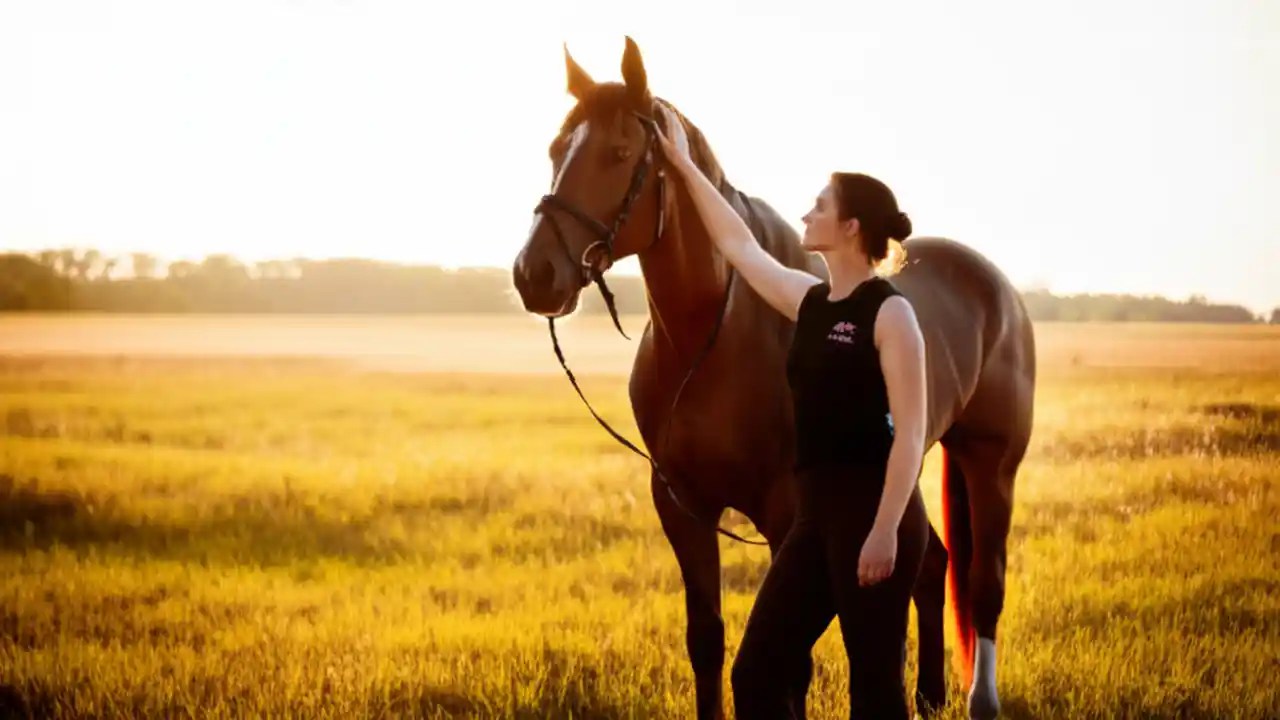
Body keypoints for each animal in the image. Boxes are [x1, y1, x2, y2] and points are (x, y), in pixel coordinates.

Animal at [510, 37, 1035, 720]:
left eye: (620, 154)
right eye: (555, 151)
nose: (534, 275)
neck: (711, 338)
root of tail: (996, 285)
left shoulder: (787, 514)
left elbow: (795, 665)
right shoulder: (681, 504)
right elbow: (706, 639)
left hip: (991, 461)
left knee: (983, 582)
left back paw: (979, 699)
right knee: (931, 565)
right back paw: (928, 696)